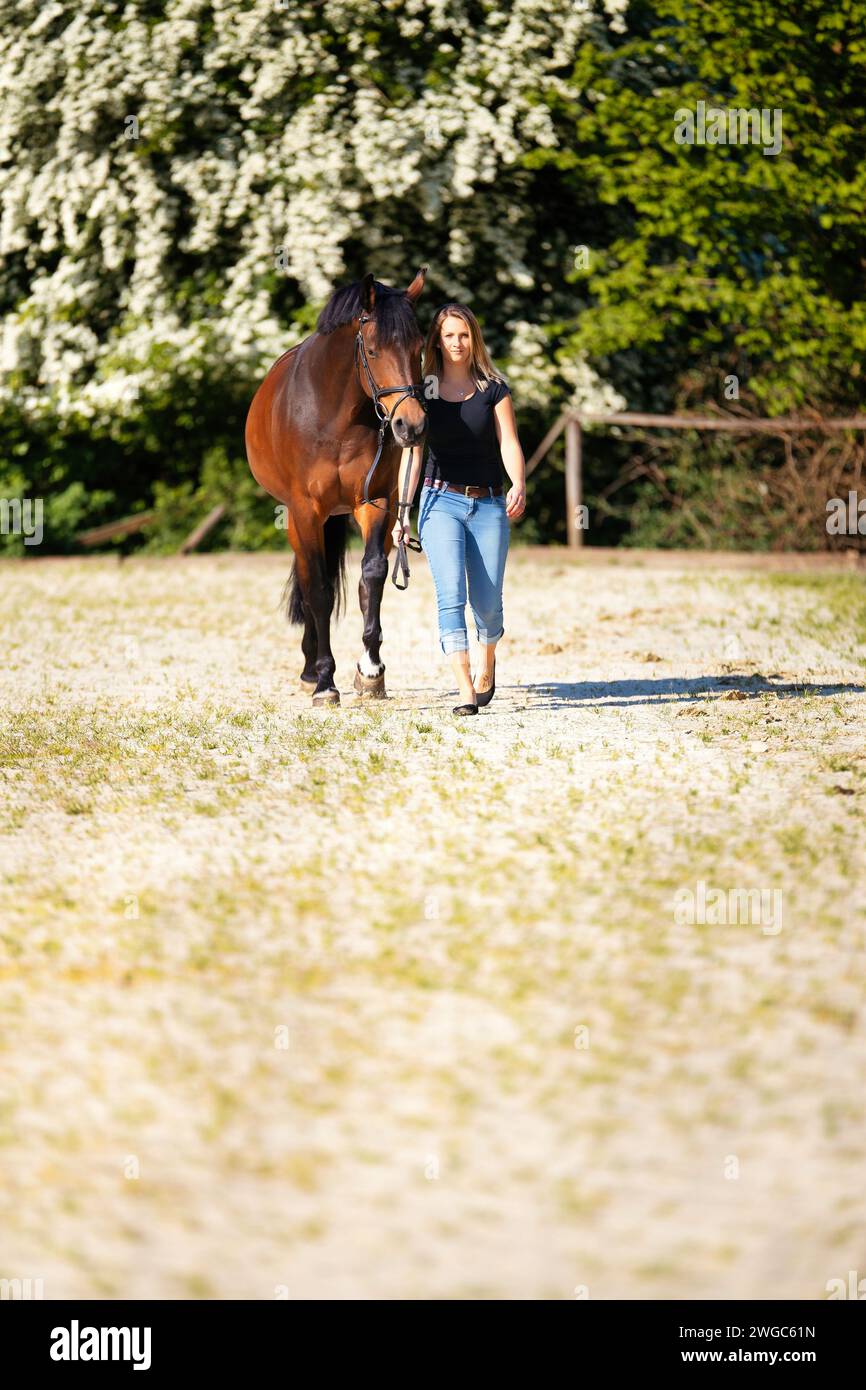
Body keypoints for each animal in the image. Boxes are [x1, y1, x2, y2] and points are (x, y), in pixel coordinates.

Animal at [245, 267, 428, 706]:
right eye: (373, 350)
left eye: (419, 349)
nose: (411, 426)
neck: (337, 416)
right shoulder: (306, 511)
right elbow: (319, 592)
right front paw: (326, 681)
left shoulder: (374, 502)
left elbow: (372, 577)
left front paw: (372, 670)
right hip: (301, 521)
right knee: (310, 580)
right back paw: (311, 670)